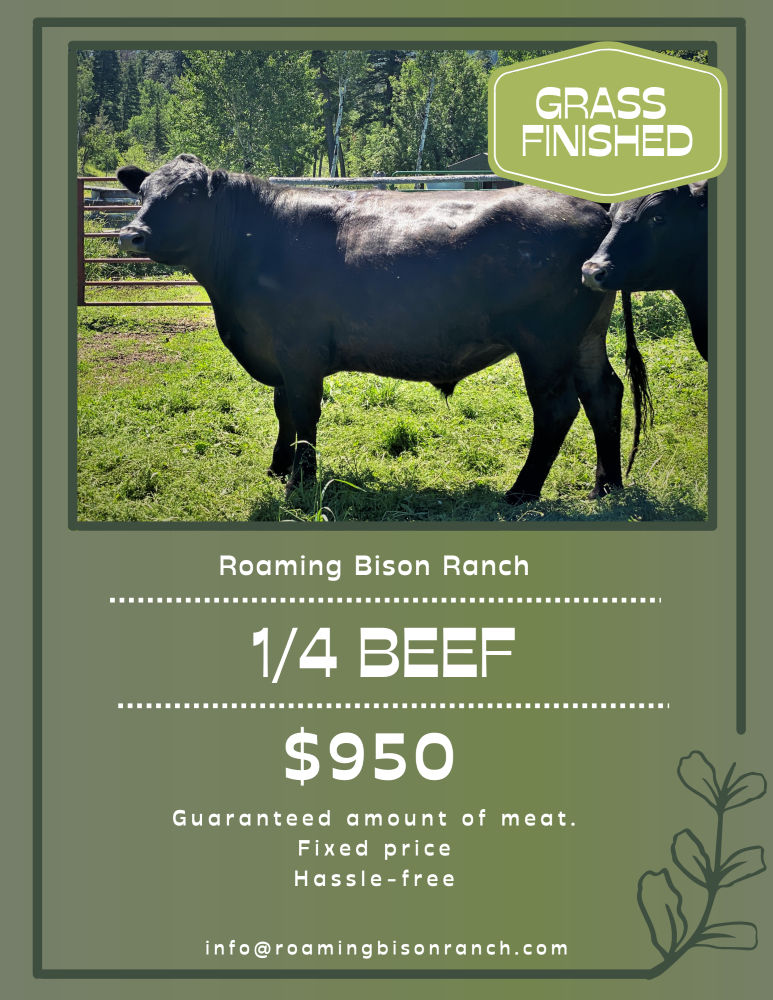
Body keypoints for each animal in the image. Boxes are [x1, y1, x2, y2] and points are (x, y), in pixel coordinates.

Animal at [116, 154, 646, 506]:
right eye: (141, 194)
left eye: (187, 195)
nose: (131, 235)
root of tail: (592, 207)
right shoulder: (279, 352)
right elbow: (283, 409)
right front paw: (278, 466)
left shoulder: (300, 352)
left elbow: (304, 414)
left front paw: (301, 481)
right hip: (584, 340)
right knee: (604, 394)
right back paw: (606, 486)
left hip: (544, 344)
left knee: (556, 410)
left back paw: (522, 492)